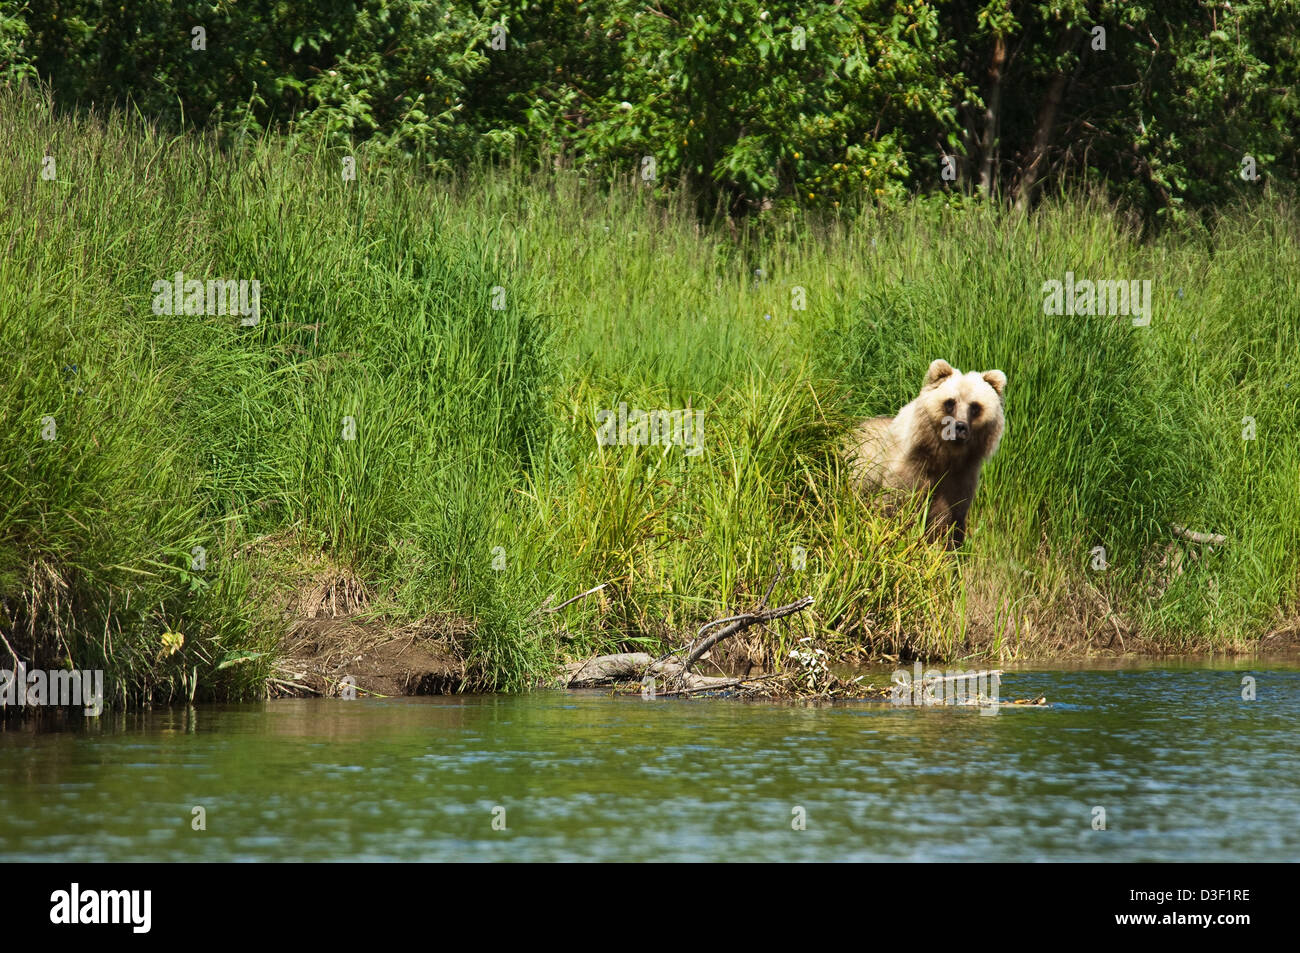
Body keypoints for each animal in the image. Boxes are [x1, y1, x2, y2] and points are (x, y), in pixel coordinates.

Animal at [846, 359, 1007, 548]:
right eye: (950, 402)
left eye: (975, 406)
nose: (959, 427)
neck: (944, 456)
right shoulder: (910, 467)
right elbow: (894, 505)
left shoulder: (959, 478)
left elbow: (946, 520)